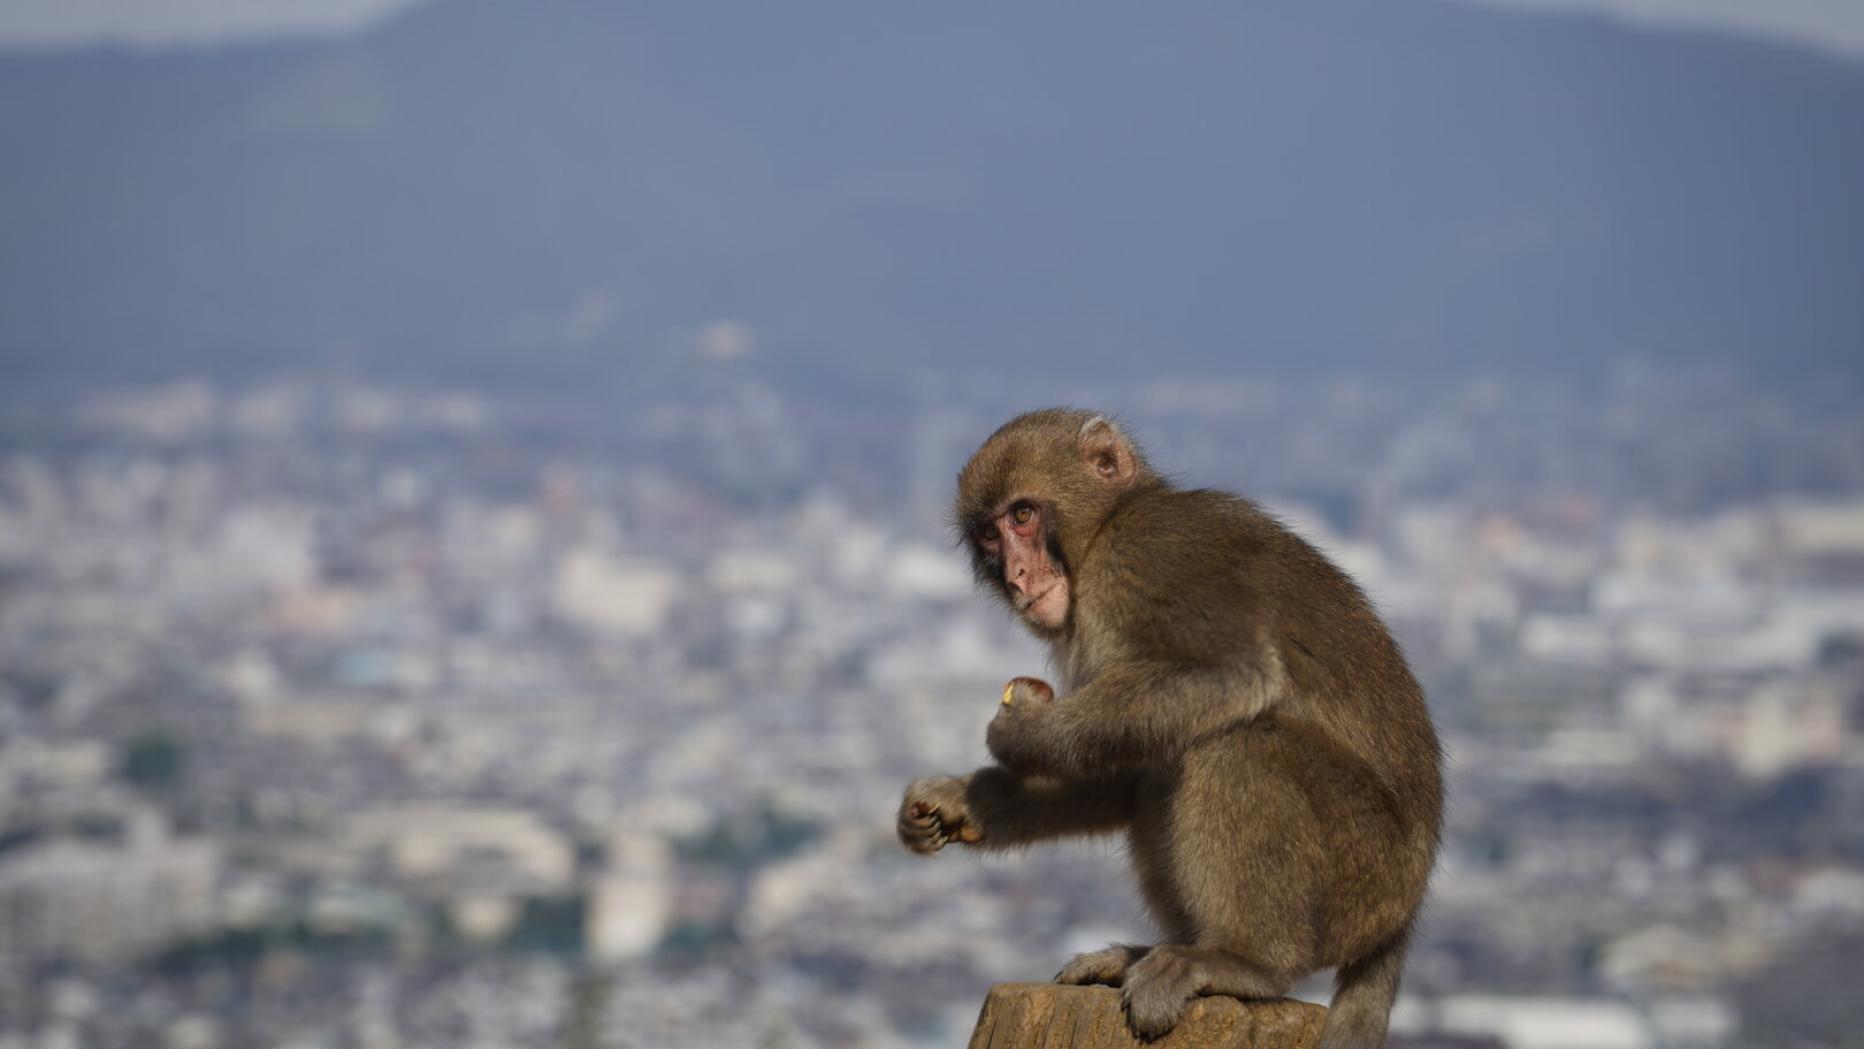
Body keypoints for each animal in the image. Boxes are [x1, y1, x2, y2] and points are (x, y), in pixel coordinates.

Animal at [896, 409, 1442, 1048]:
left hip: (1365, 873)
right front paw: (962, 799)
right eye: (989, 534)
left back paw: (1244, 961)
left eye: (1023, 516)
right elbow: (1122, 776)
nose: (1017, 574)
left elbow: (1234, 674)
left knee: (1236, 746)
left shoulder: (1144, 557)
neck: (1105, 528)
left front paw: (1021, 735)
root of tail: (1404, 915)